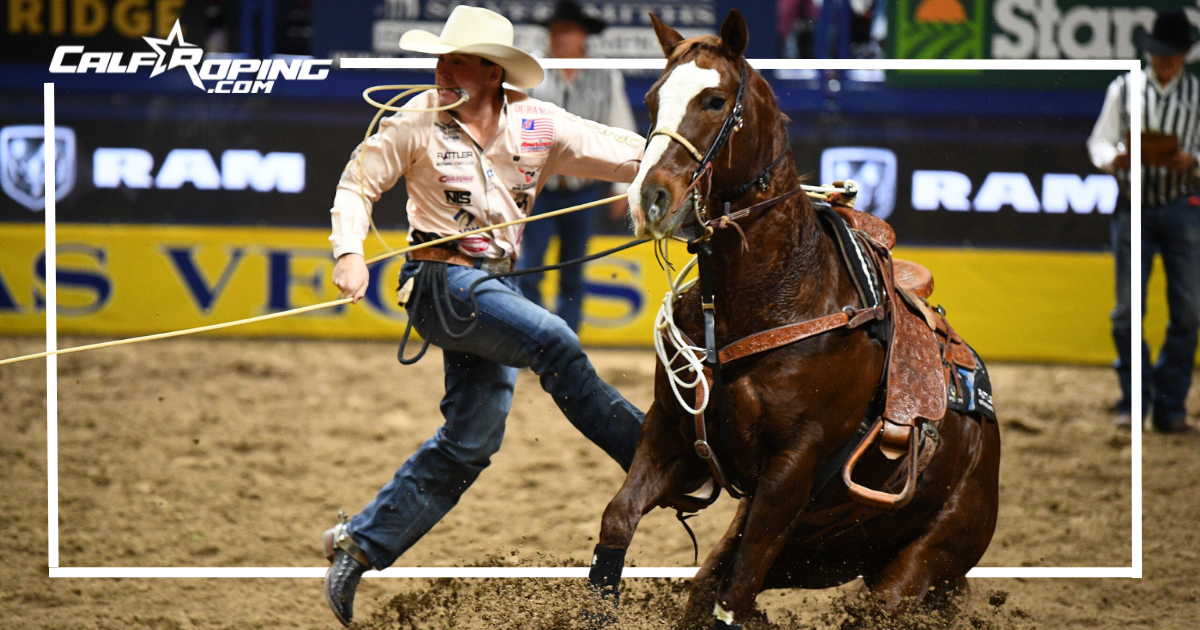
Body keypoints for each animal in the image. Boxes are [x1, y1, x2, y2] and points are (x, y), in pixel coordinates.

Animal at [585, 10, 1001, 629]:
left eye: (715, 100)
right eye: (653, 98)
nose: (650, 198)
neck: (761, 299)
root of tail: (986, 445)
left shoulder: (790, 469)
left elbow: (734, 597)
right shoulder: (671, 432)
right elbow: (619, 517)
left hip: (914, 565)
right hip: (813, 546)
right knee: (710, 579)